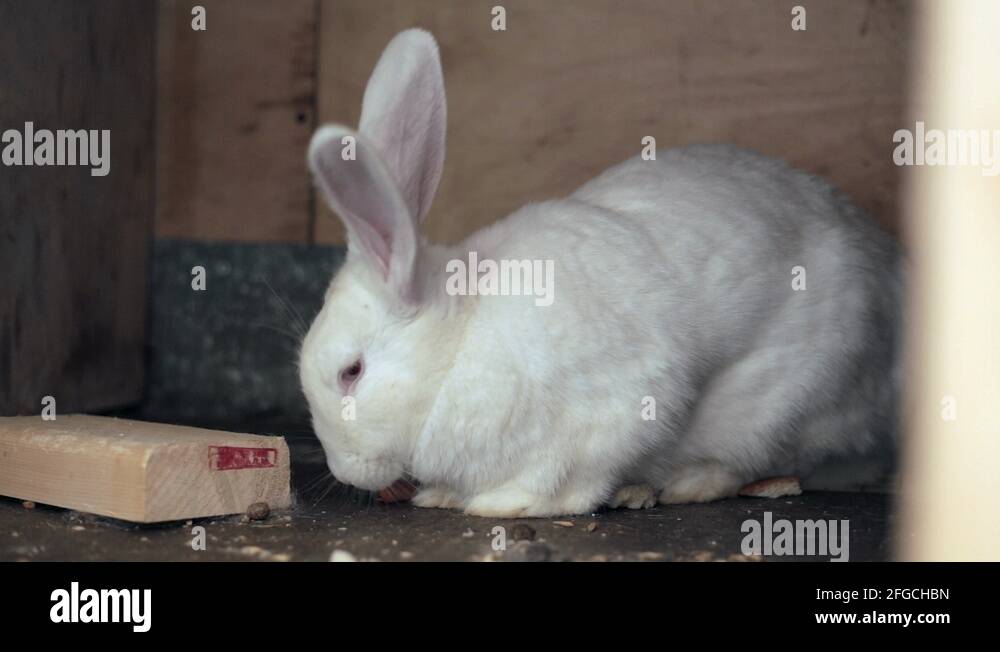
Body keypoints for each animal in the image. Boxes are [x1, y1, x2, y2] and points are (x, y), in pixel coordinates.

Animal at [299, 28, 904, 517]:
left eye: (351, 372)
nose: (345, 471)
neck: (459, 342)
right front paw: (441, 495)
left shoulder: (610, 411)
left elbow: (571, 477)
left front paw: (506, 504)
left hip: (789, 401)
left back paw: (688, 484)